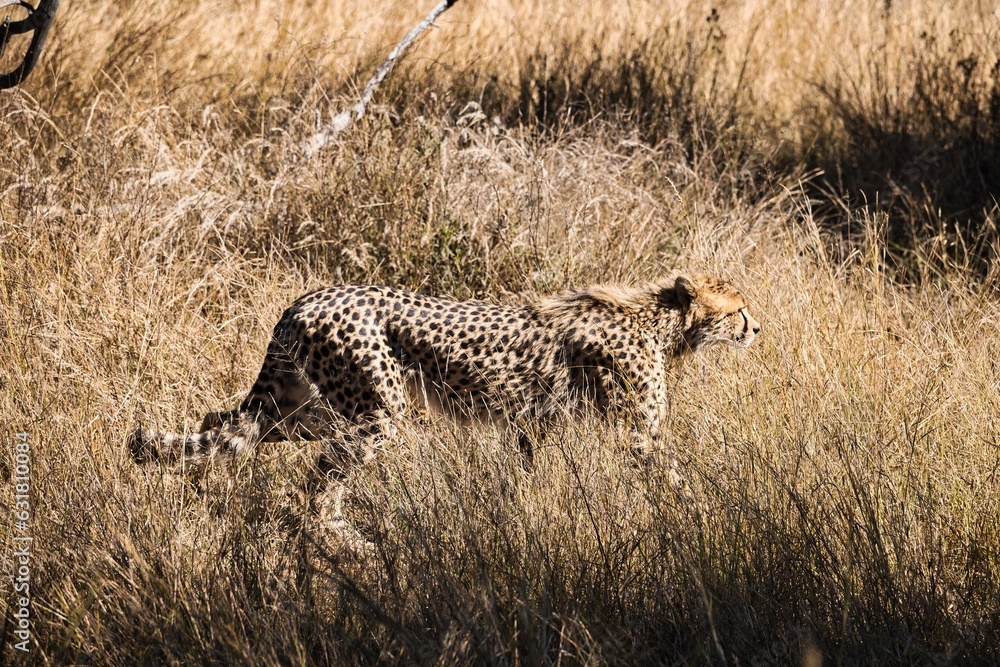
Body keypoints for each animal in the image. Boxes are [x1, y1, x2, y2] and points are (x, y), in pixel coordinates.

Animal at [128, 273, 760, 493]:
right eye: (737, 308)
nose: (756, 327)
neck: (656, 319)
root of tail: (306, 298)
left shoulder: (535, 425)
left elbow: (528, 470)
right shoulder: (640, 434)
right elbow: (672, 471)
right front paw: (703, 511)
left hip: (300, 410)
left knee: (224, 428)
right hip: (374, 412)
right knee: (320, 484)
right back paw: (346, 546)